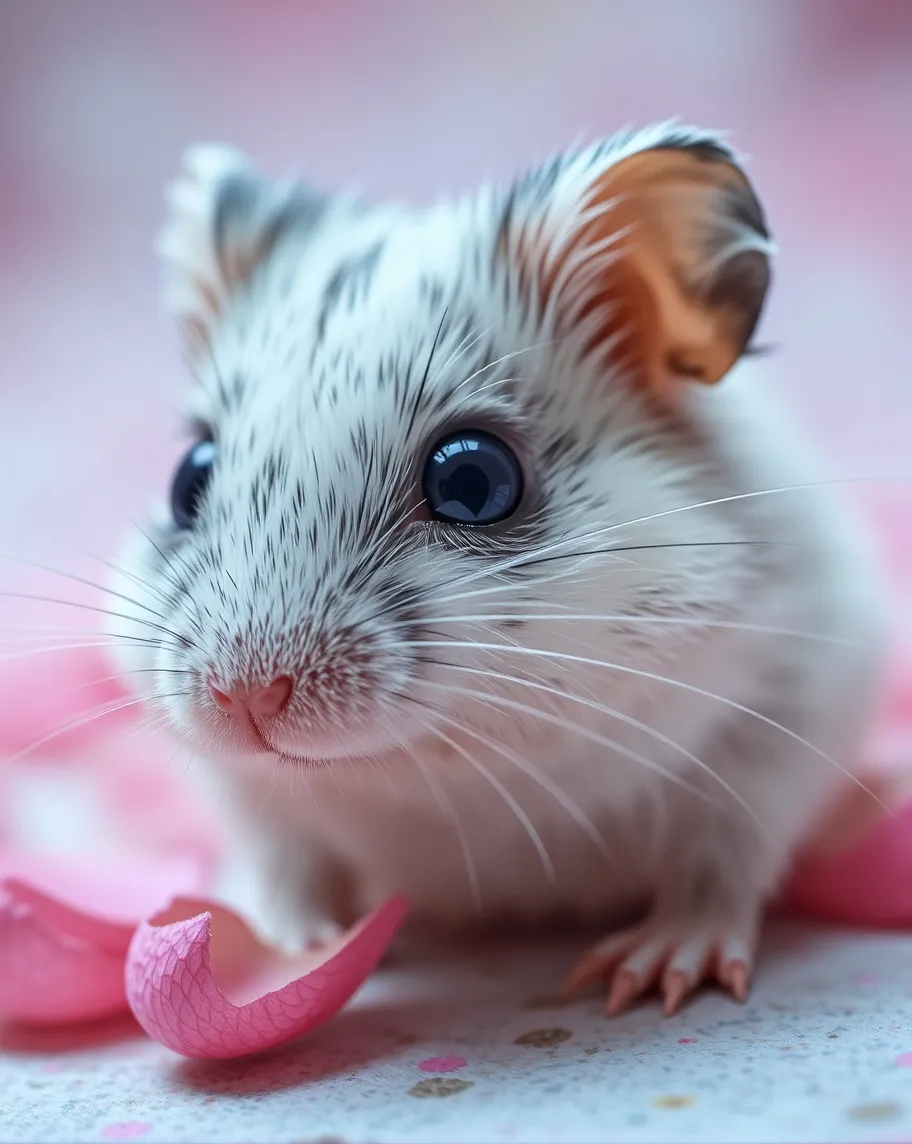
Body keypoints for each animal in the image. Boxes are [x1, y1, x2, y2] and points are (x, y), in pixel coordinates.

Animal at [108, 123, 885, 1015]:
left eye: (474, 480)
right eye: (189, 477)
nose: (244, 699)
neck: (458, 777)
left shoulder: (773, 734)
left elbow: (716, 869)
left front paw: (642, 976)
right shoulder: (255, 802)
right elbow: (290, 868)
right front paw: (291, 946)